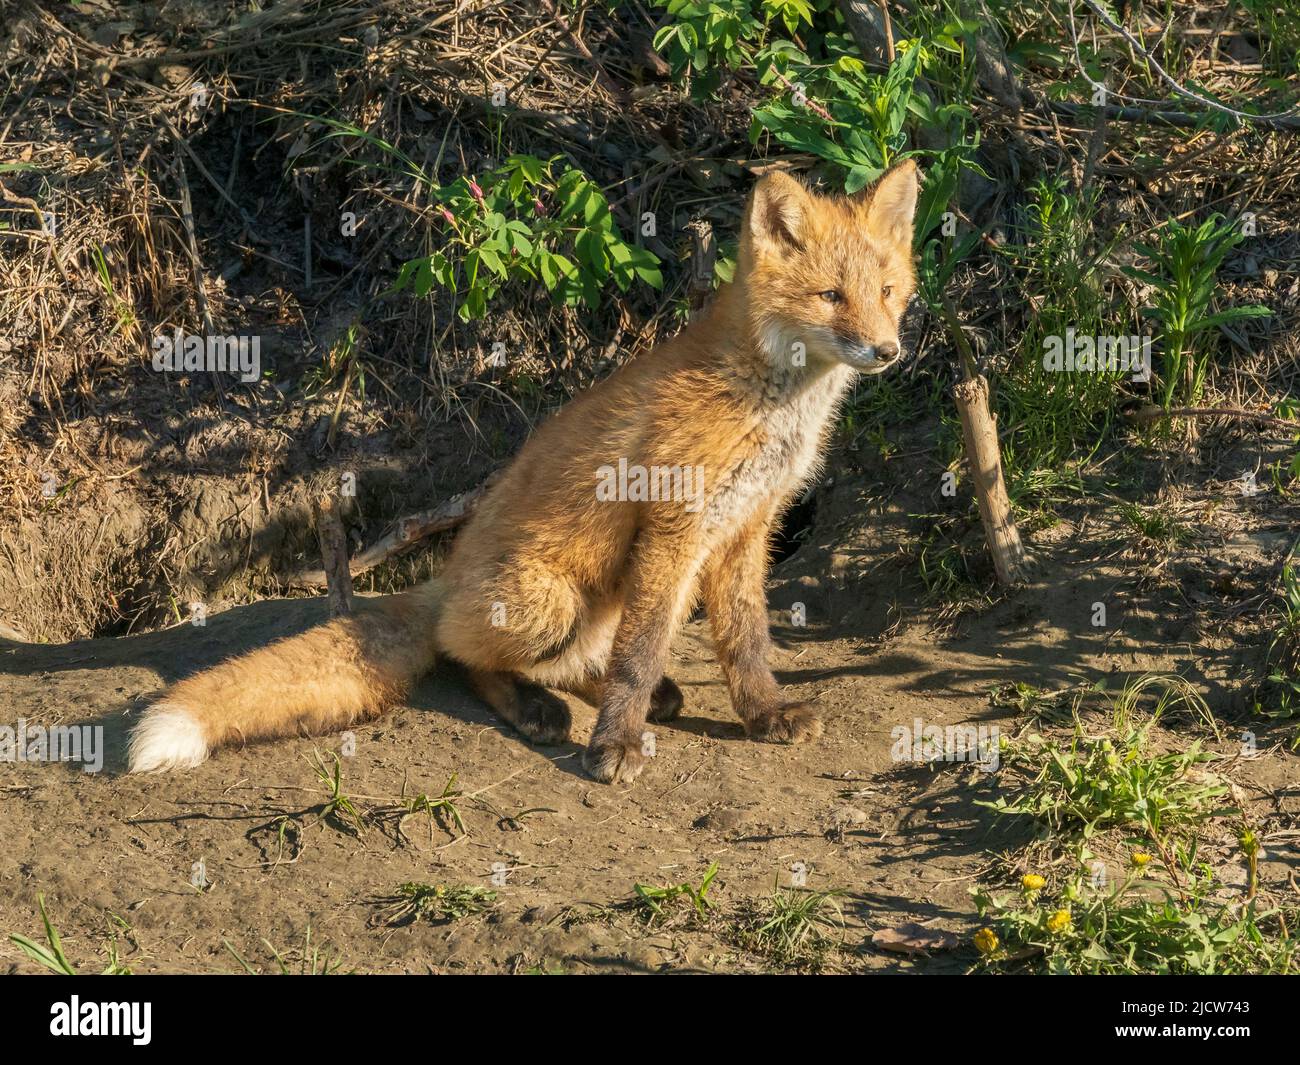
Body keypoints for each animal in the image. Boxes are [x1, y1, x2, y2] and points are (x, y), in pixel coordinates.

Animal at [128, 160, 919, 784]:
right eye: (830, 297)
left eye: (886, 291)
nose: (887, 351)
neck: (763, 400)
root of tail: (444, 579)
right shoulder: (674, 527)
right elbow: (639, 655)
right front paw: (615, 746)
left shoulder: (745, 529)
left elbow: (746, 641)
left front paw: (763, 714)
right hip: (548, 600)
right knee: (464, 656)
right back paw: (536, 706)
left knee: (576, 659)